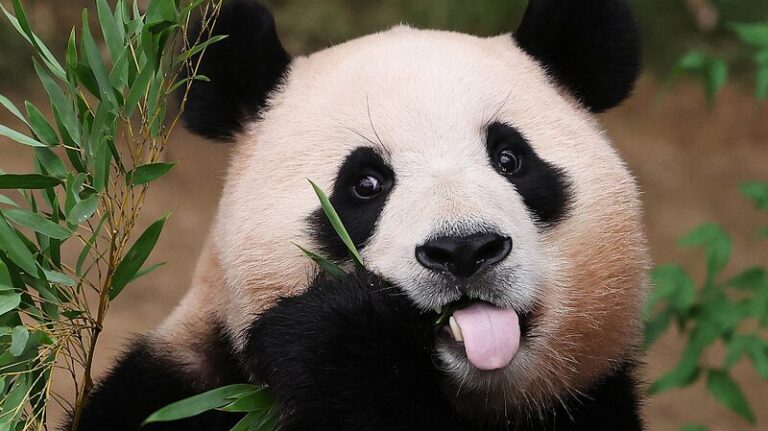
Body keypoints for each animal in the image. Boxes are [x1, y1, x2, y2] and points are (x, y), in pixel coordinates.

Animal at [71, 0, 650, 430]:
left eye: (510, 159)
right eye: (366, 184)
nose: (464, 250)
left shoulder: (589, 402)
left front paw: (348, 340)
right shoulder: (185, 389)